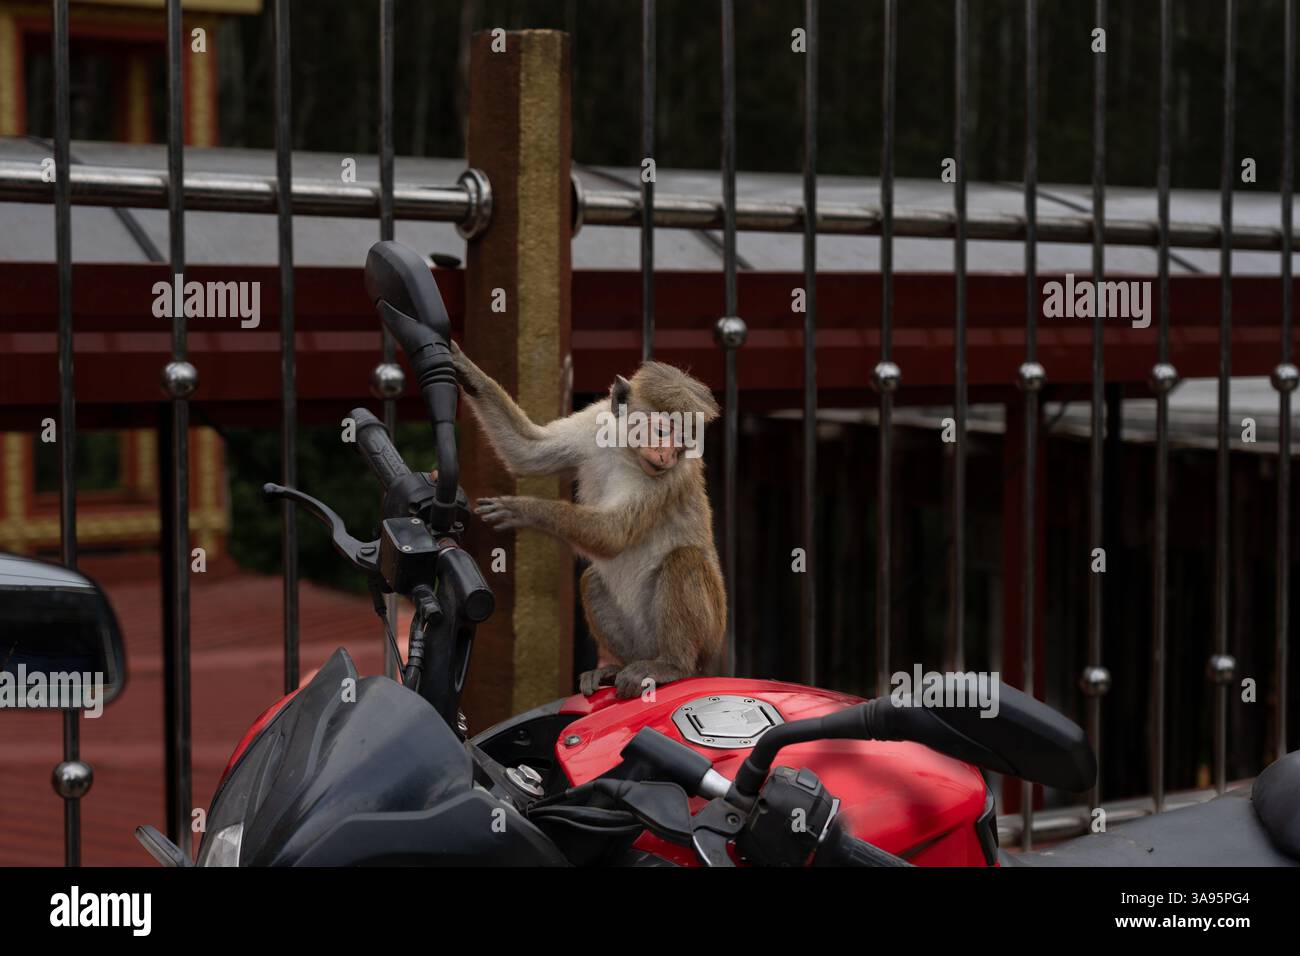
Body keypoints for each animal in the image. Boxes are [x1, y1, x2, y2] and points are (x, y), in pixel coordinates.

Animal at [450, 342, 726, 699]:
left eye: (681, 445)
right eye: (662, 431)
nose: (667, 455)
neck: (625, 450)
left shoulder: (672, 477)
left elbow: (614, 534)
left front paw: (526, 509)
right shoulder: (594, 422)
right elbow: (528, 451)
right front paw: (468, 372)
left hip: (708, 635)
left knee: (684, 559)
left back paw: (672, 666)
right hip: (642, 639)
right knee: (593, 580)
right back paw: (619, 666)